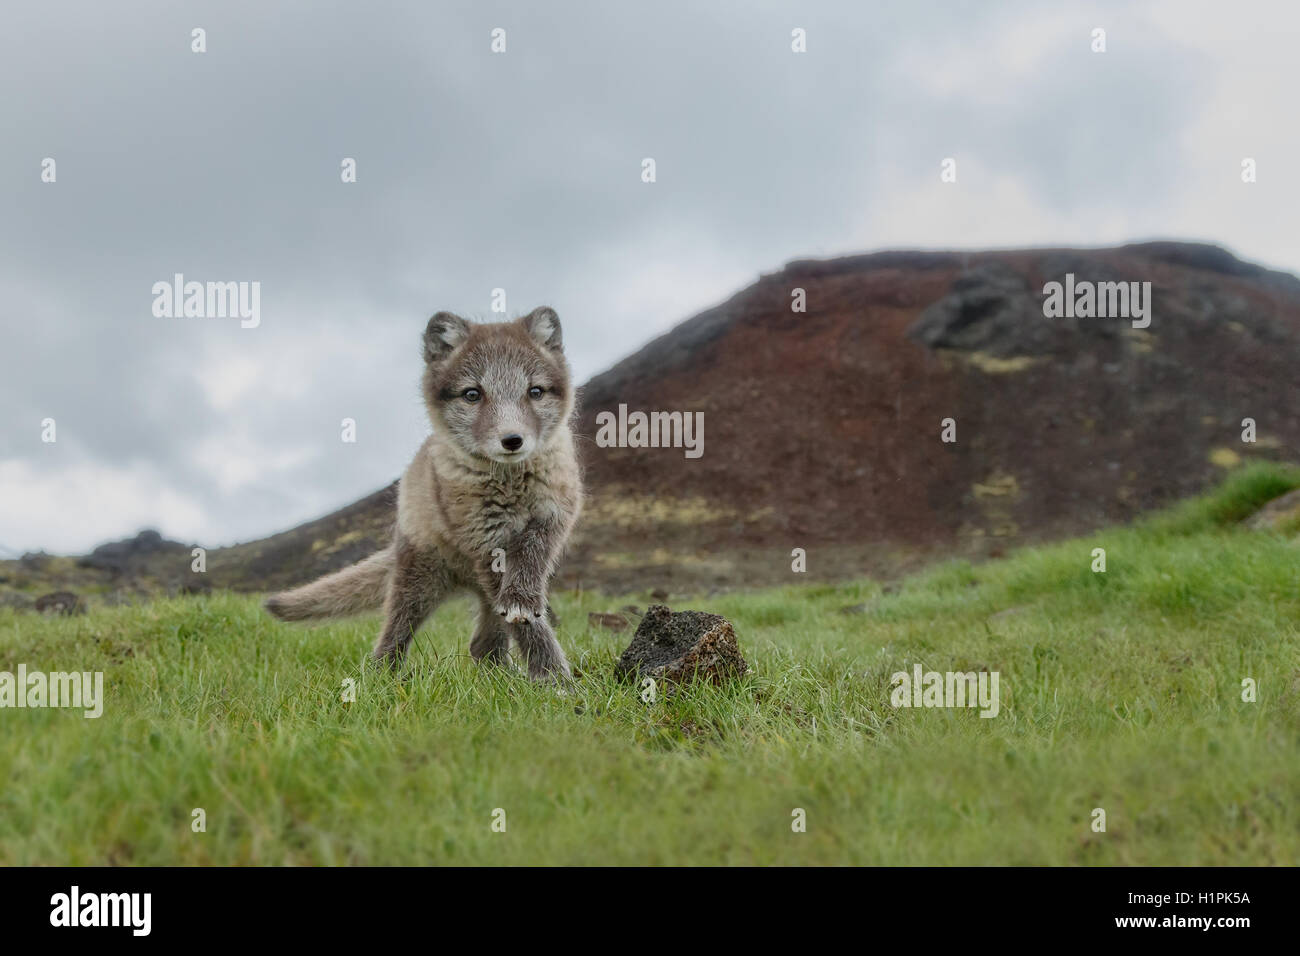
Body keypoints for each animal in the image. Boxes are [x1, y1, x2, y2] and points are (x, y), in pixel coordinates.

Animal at [264, 306, 582, 683]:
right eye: (472, 394)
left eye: (535, 391)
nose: (512, 440)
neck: (509, 485)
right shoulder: (484, 539)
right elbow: (528, 624)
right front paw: (554, 680)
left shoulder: (554, 515)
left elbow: (531, 564)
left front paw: (544, 662)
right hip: (418, 583)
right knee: (394, 637)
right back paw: (385, 678)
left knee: (482, 644)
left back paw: (501, 678)